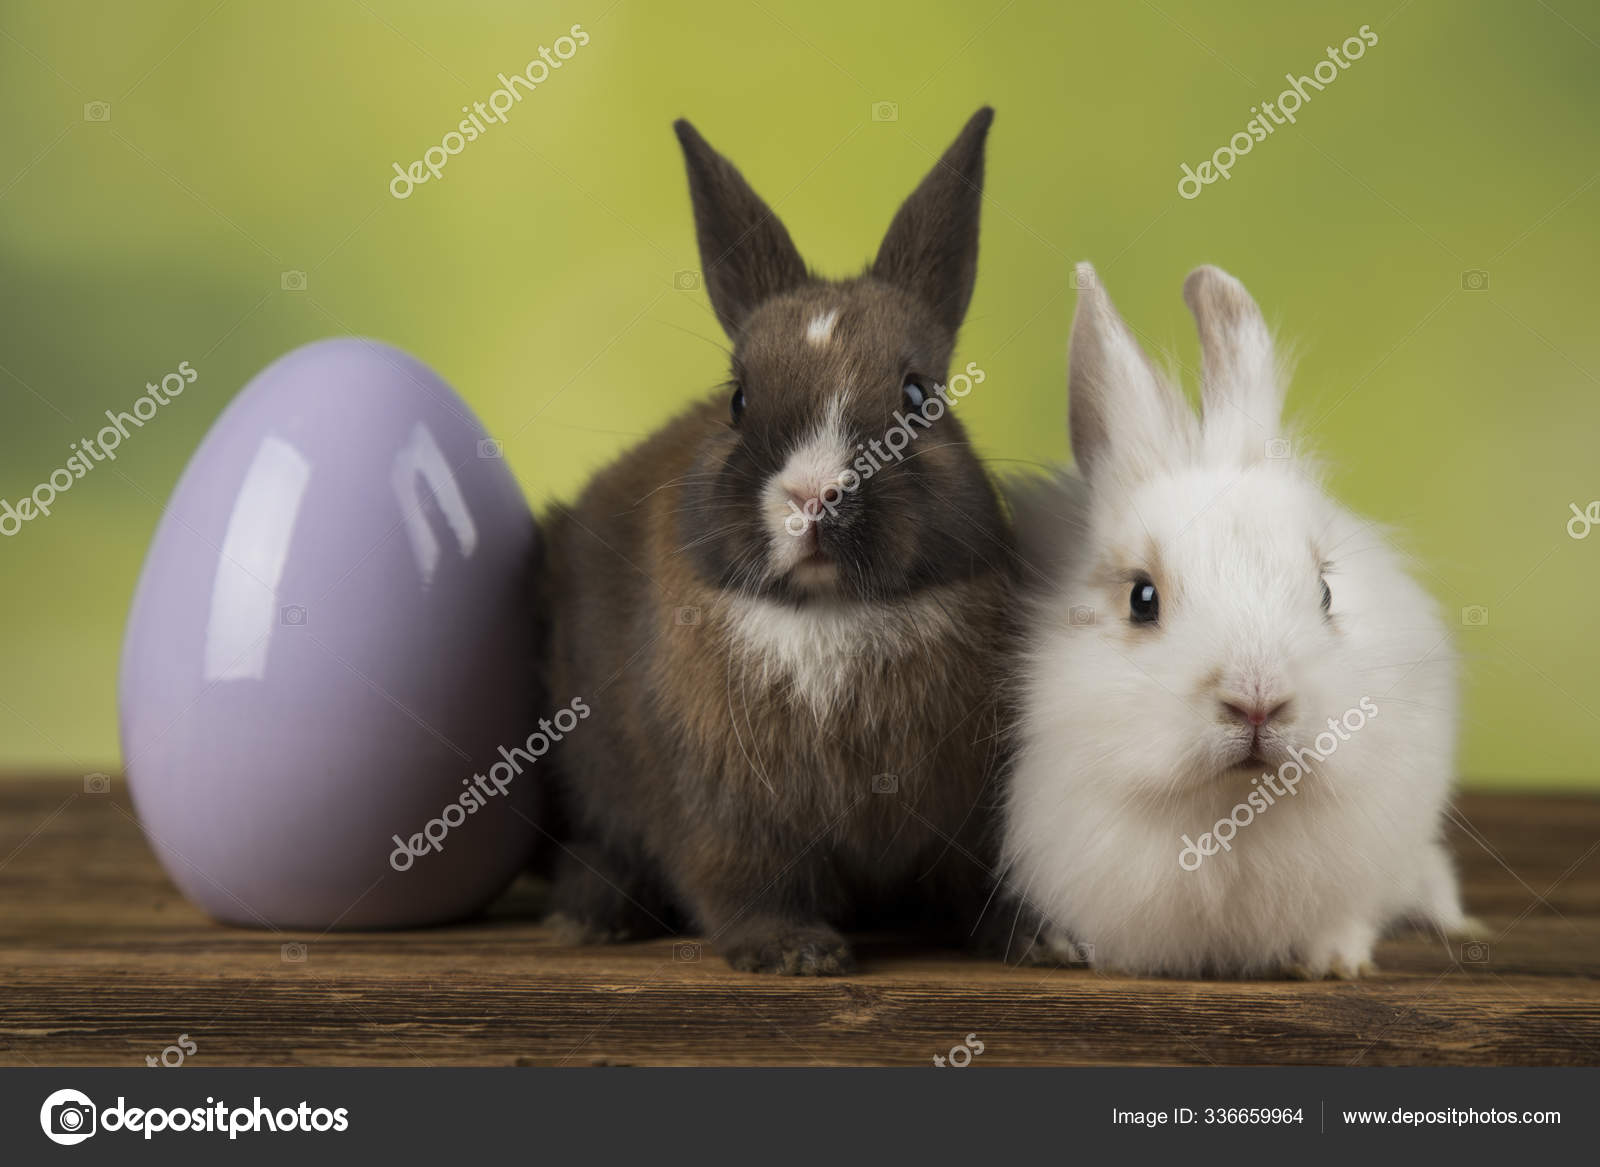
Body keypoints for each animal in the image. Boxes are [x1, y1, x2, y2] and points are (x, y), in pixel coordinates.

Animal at [540, 108, 1022, 974]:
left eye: (919, 397)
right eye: (737, 400)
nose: (814, 493)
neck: (830, 615)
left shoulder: (975, 806)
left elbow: (982, 874)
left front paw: (1040, 935)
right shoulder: (721, 814)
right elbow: (742, 883)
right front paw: (794, 951)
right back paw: (587, 913)